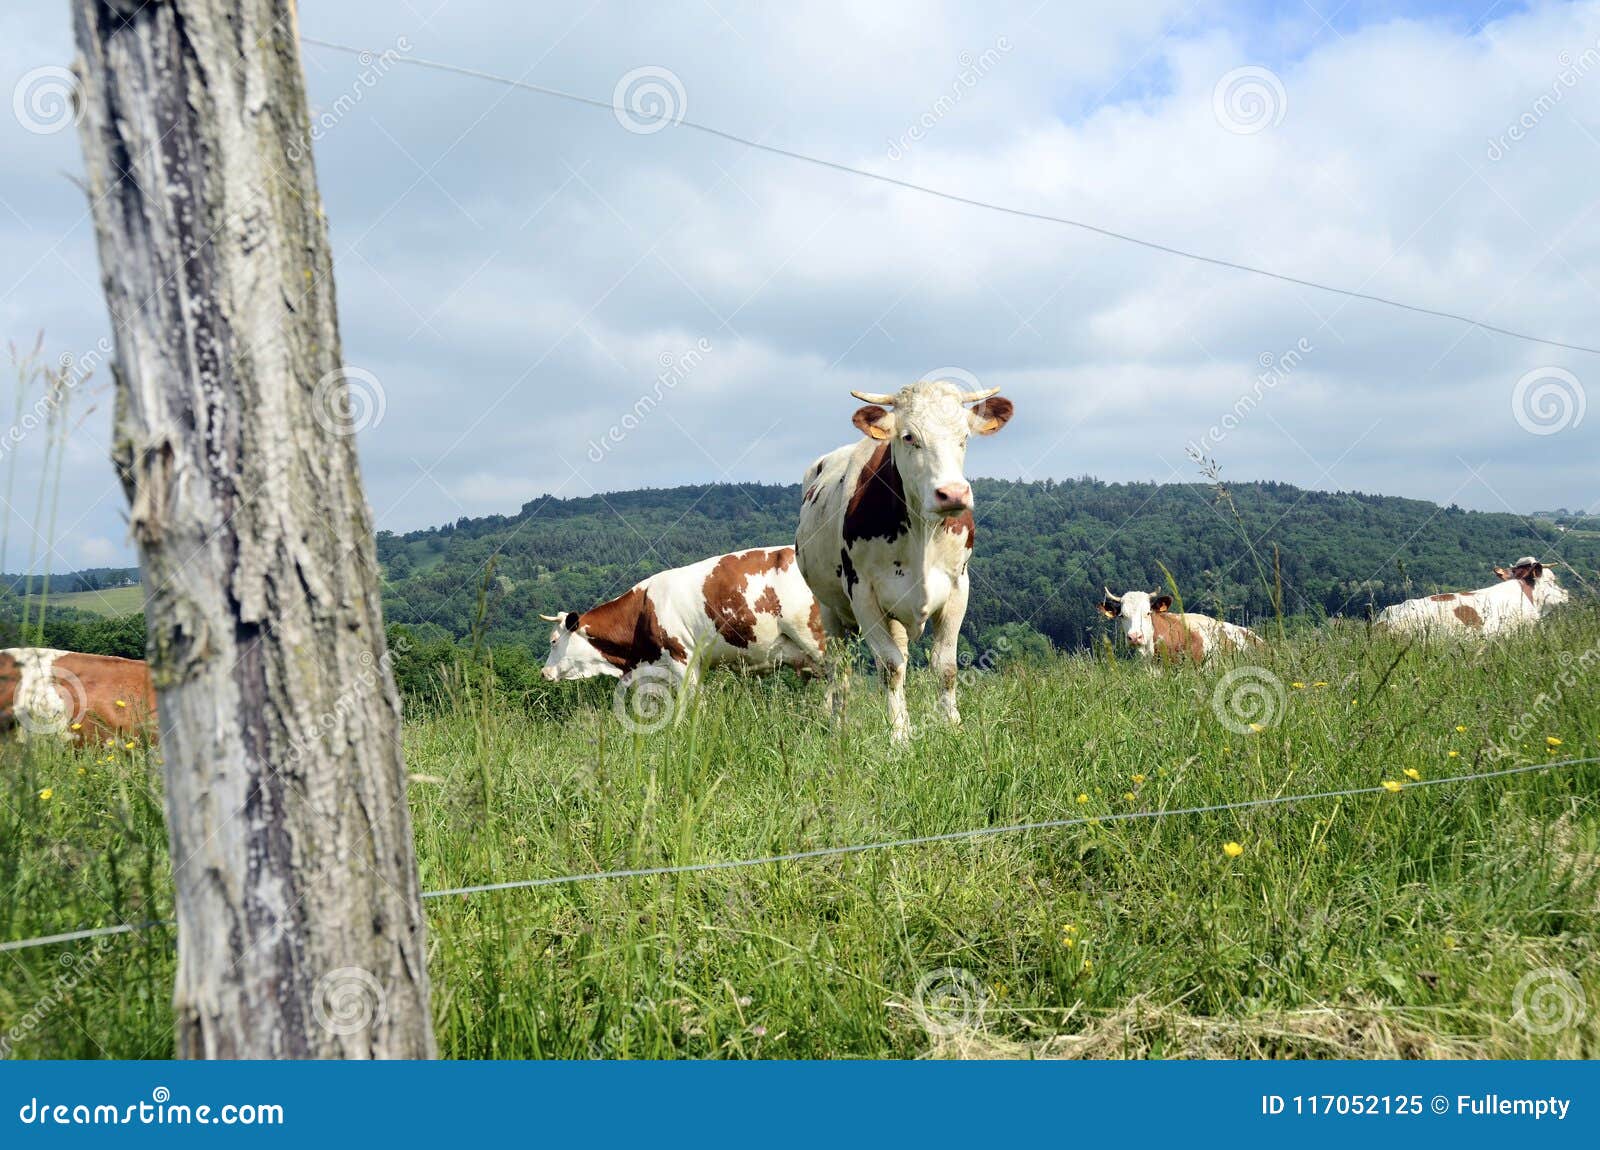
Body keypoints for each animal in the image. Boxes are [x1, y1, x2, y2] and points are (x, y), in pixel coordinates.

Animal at [795, 379, 1014, 742]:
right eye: (909, 436)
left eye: (964, 436)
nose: (952, 494)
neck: (922, 535)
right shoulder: (862, 594)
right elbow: (890, 666)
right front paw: (899, 734)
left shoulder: (958, 586)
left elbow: (945, 665)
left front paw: (951, 725)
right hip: (828, 608)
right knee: (840, 670)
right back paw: (839, 725)